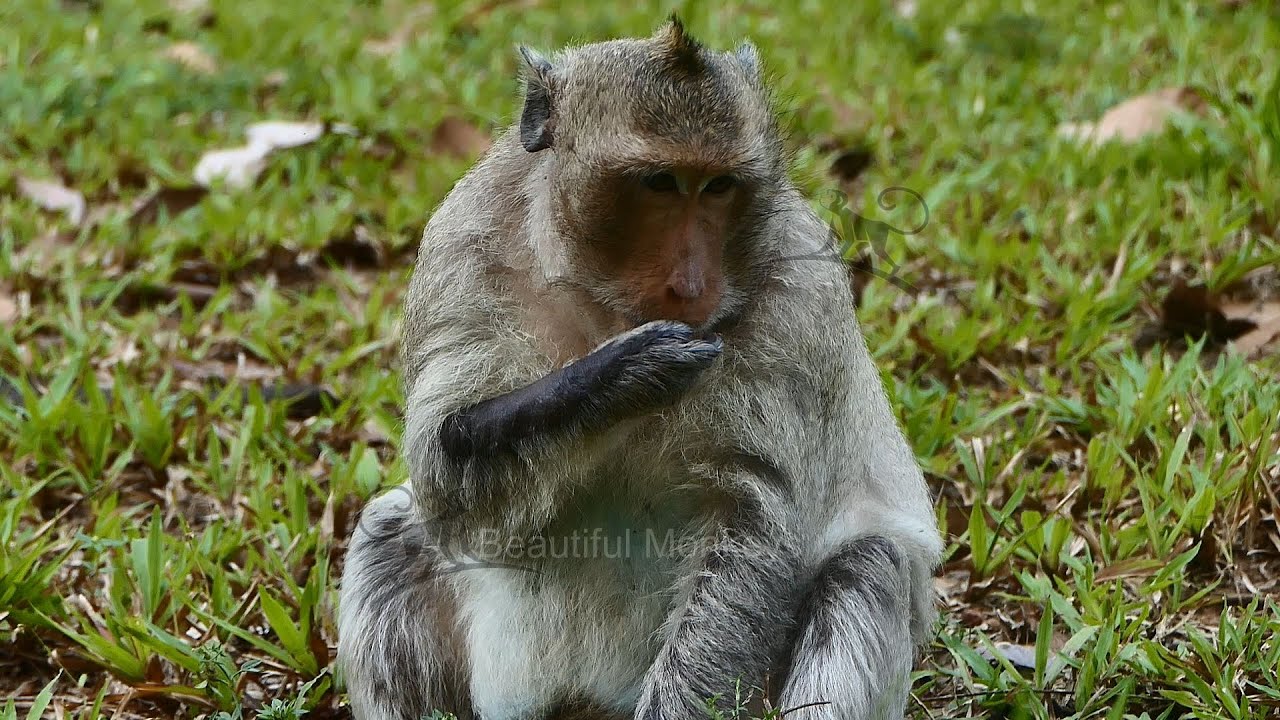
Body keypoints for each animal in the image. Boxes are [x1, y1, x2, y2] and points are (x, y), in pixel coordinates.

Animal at [337, 18, 944, 720]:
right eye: (659, 183)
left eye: (717, 187)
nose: (693, 283)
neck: (602, 302)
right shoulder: (459, 251)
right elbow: (445, 483)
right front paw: (616, 375)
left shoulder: (801, 292)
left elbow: (755, 517)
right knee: (391, 531)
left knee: (867, 568)